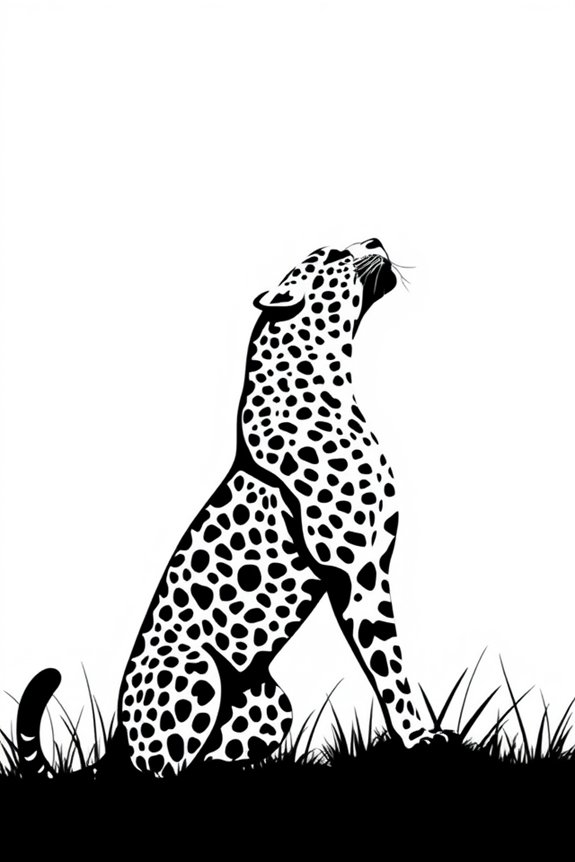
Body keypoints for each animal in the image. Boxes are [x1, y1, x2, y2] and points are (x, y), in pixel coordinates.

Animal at [17, 237, 445, 779]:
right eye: (330, 255)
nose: (375, 240)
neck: (330, 381)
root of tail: (116, 742)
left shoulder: (375, 560)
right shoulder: (357, 571)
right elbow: (388, 663)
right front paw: (421, 738)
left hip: (268, 702)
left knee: (212, 759)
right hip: (197, 674)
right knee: (162, 769)